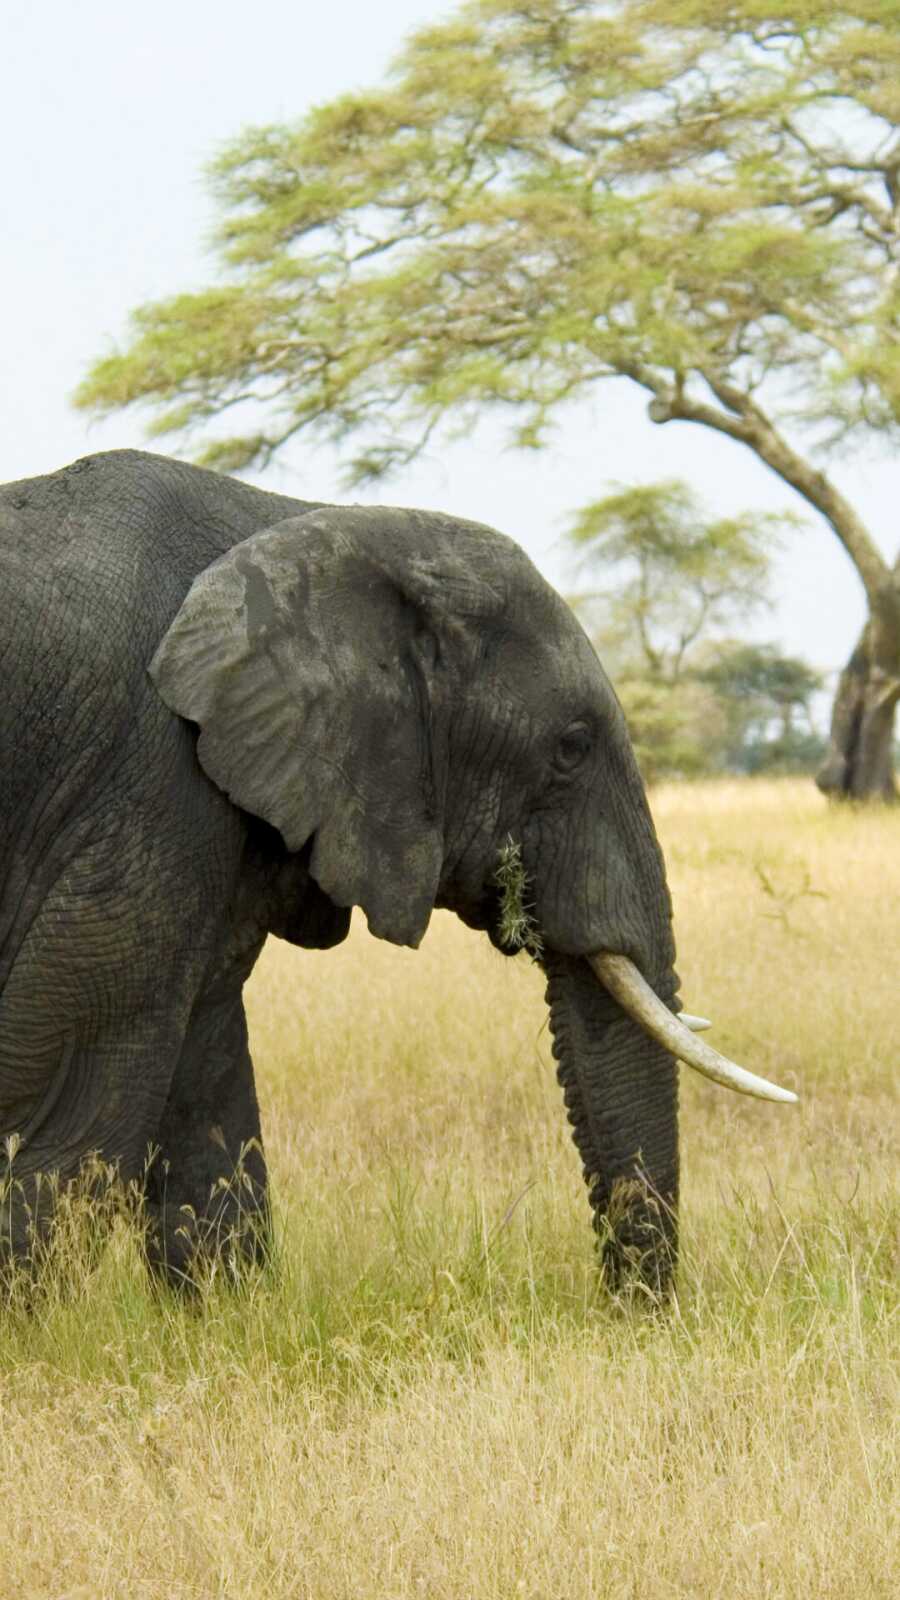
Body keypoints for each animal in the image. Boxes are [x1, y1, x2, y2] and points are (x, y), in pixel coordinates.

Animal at [0, 449, 795, 1293]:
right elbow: (75, 1124)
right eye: (572, 747)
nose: (629, 1312)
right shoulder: (152, 780)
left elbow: (205, 1092)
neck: (309, 524)